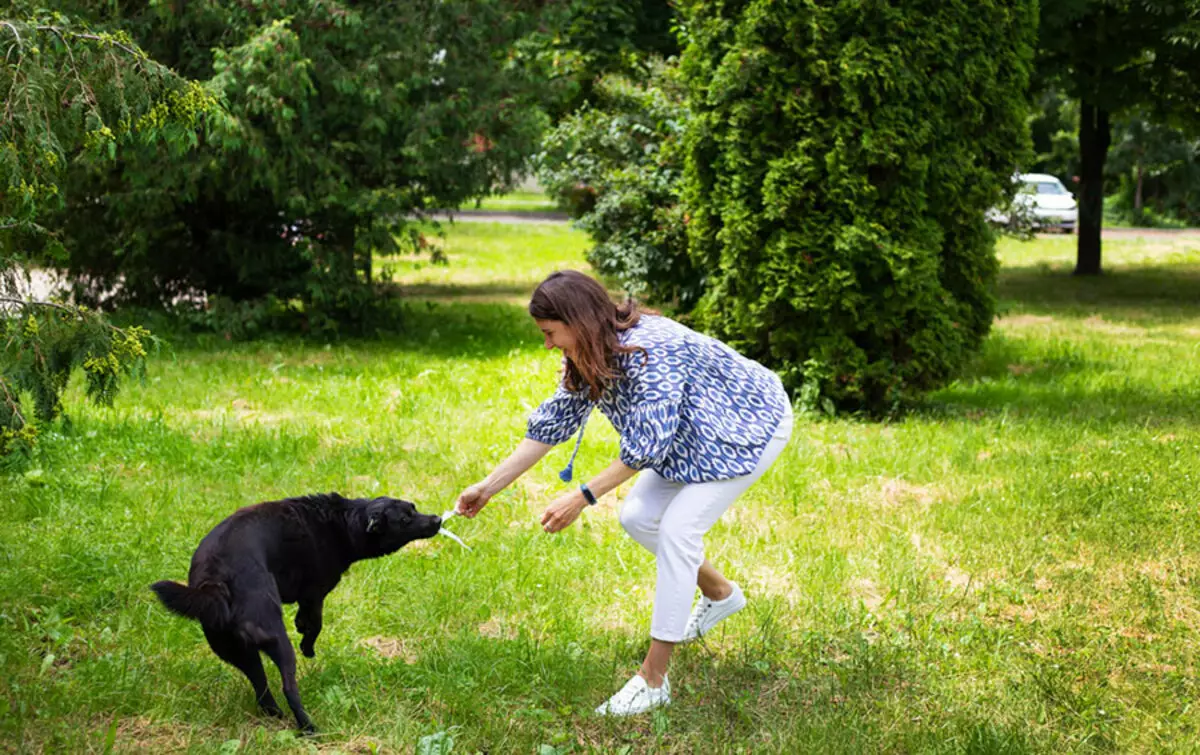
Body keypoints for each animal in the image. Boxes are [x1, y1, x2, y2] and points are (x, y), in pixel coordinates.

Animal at [150, 492, 441, 724]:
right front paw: (307, 644)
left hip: (238, 652)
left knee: (262, 689)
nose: (437, 519)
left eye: (414, 507)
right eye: (405, 520)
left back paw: (276, 715)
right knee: (289, 688)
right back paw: (308, 727)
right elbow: (316, 623)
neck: (343, 523)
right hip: (276, 639)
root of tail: (215, 581)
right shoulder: (315, 593)